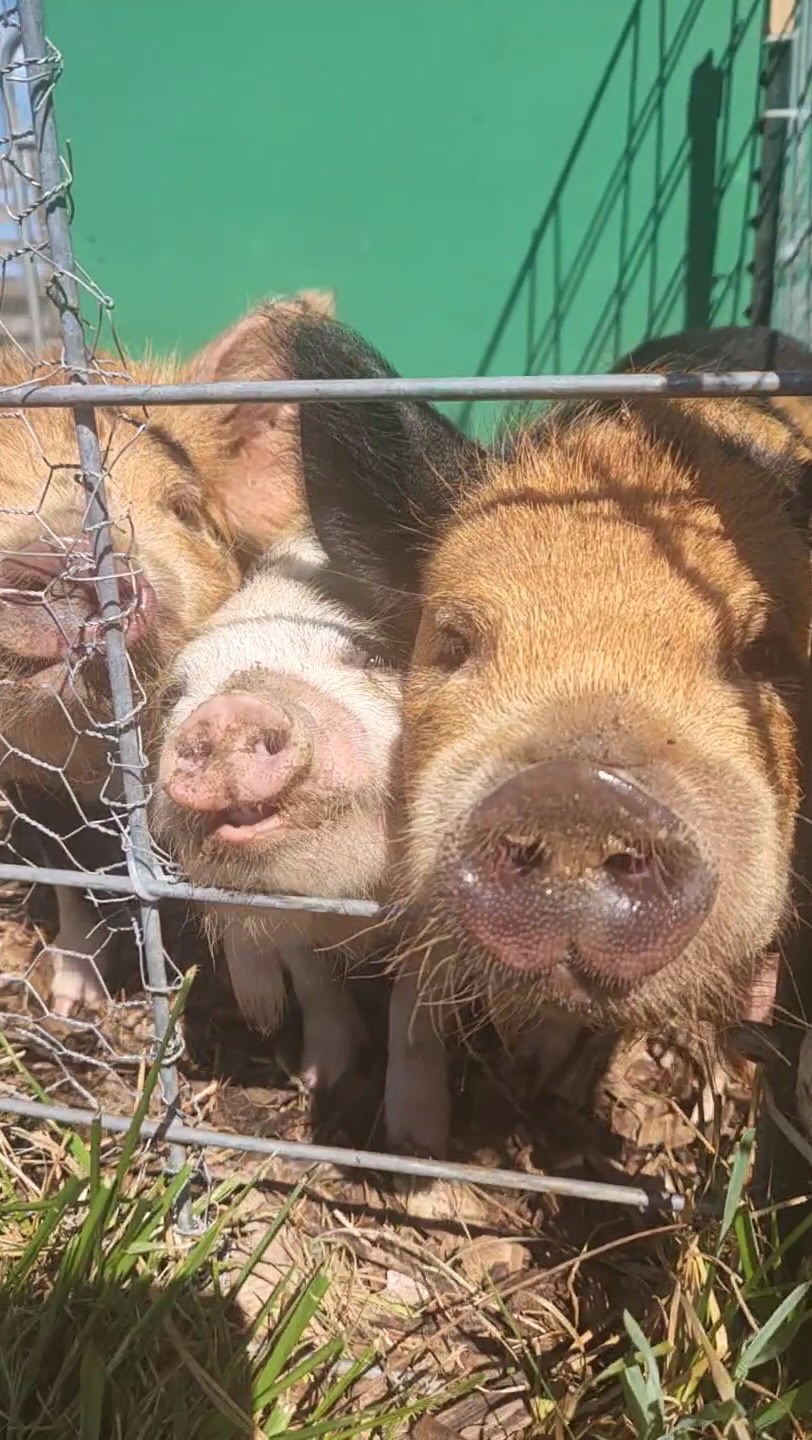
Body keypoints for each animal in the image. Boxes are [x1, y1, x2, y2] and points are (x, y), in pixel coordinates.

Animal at [150, 311, 481, 1087]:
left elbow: (413, 1019)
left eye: (367, 655)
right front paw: (318, 1073)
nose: (229, 709)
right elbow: (312, 980)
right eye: (175, 694)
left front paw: (407, 1120)